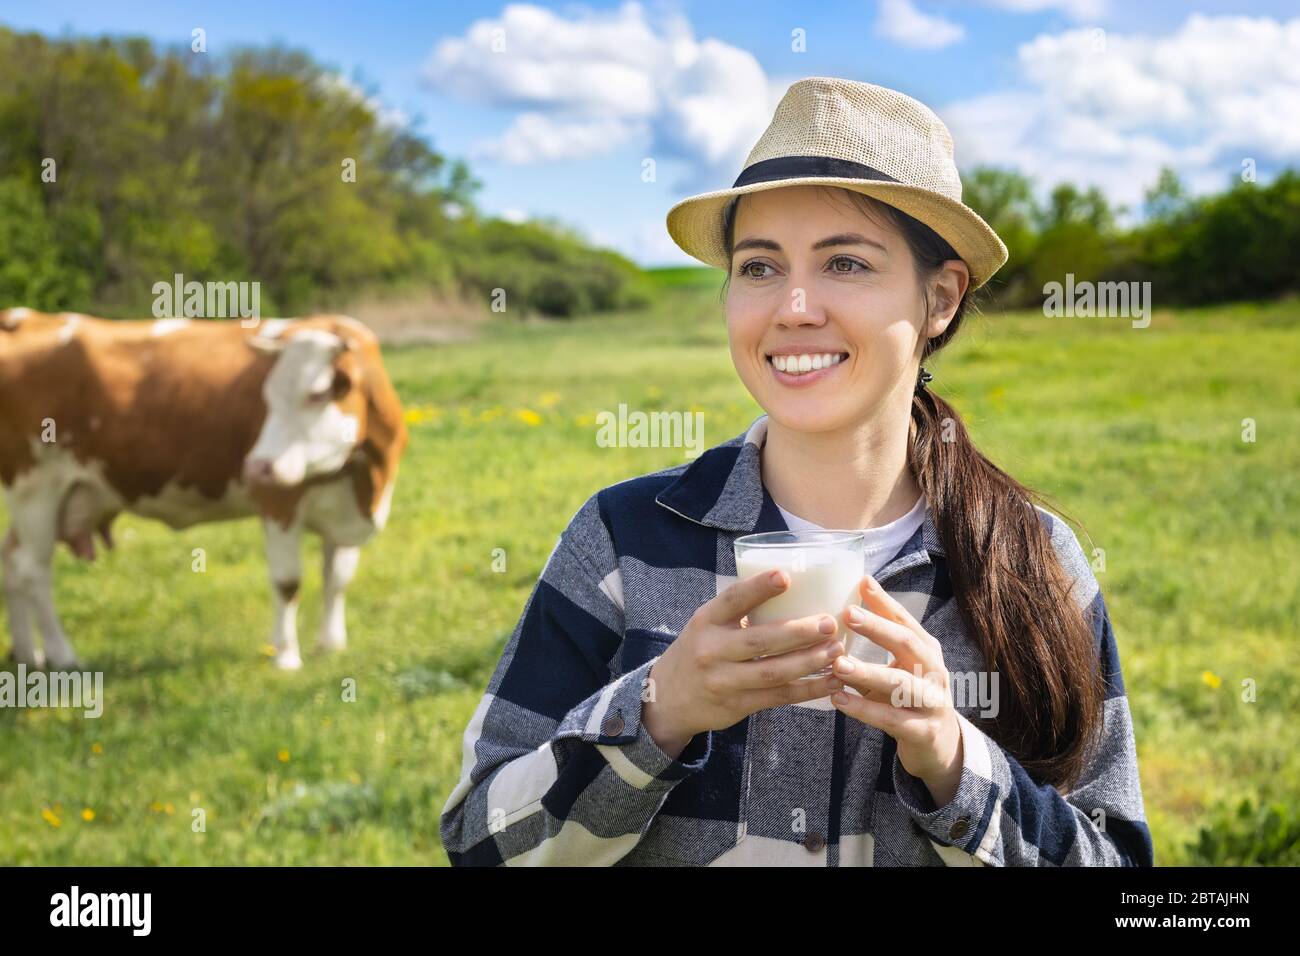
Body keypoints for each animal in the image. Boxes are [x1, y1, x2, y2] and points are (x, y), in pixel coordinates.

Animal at [0, 307, 409, 671]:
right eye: (267, 396)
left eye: (315, 394)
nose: (256, 466)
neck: (364, 478)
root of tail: (26, 317)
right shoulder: (277, 502)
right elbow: (288, 582)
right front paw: (286, 656)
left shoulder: (345, 509)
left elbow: (337, 579)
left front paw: (332, 644)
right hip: (36, 489)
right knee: (32, 570)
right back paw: (62, 655)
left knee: (11, 562)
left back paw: (28, 654)